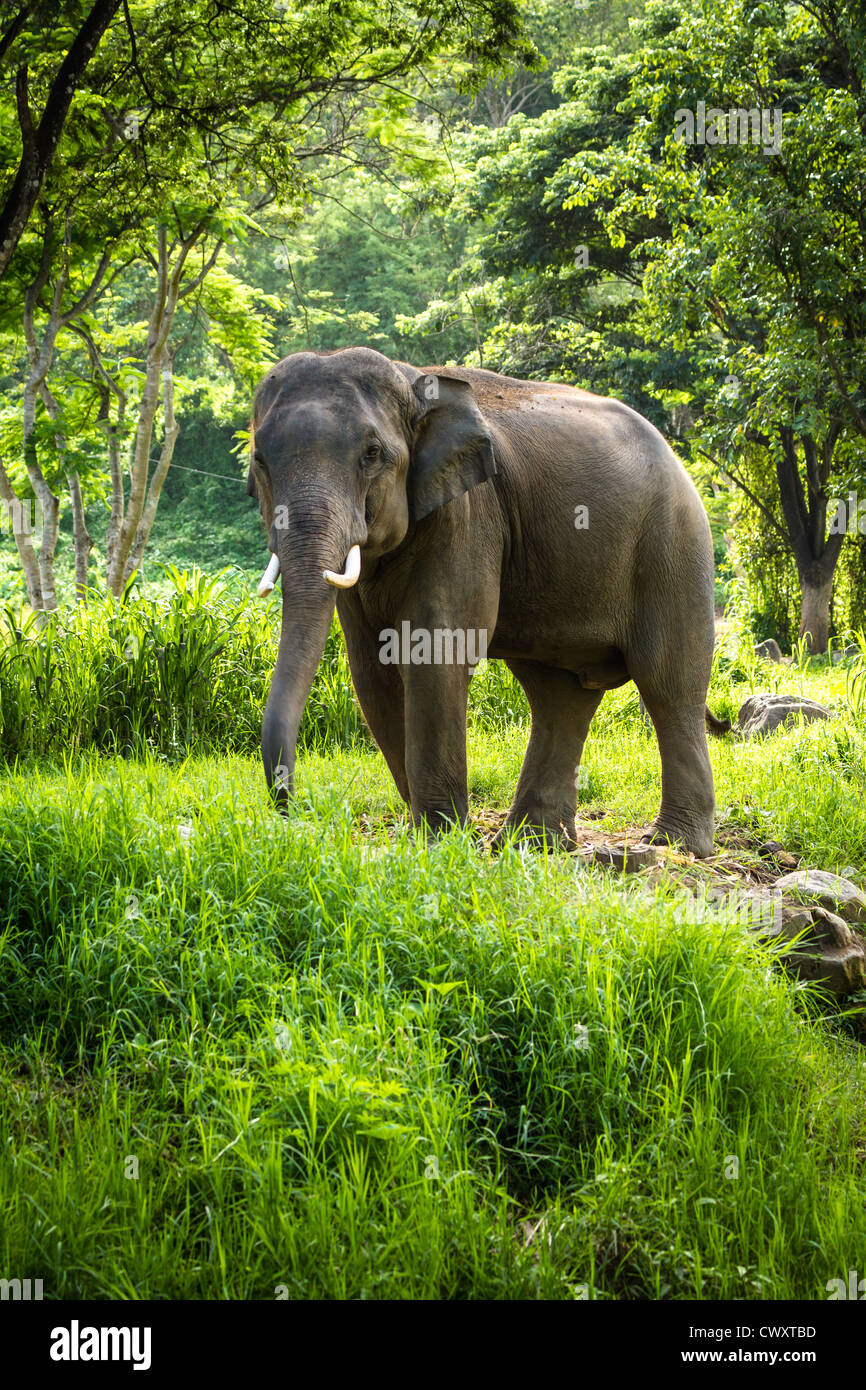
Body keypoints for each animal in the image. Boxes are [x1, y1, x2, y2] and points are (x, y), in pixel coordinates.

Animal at [246, 346, 729, 857]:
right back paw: (533, 842)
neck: (411, 382)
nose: (294, 811)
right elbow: (372, 668)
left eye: (372, 454)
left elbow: (433, 654)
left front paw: (440, 842)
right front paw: (431, 837)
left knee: (668, 682)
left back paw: (675, 845)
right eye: (259, 460)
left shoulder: (468, 515)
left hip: (674, 546)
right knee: (559, 696)